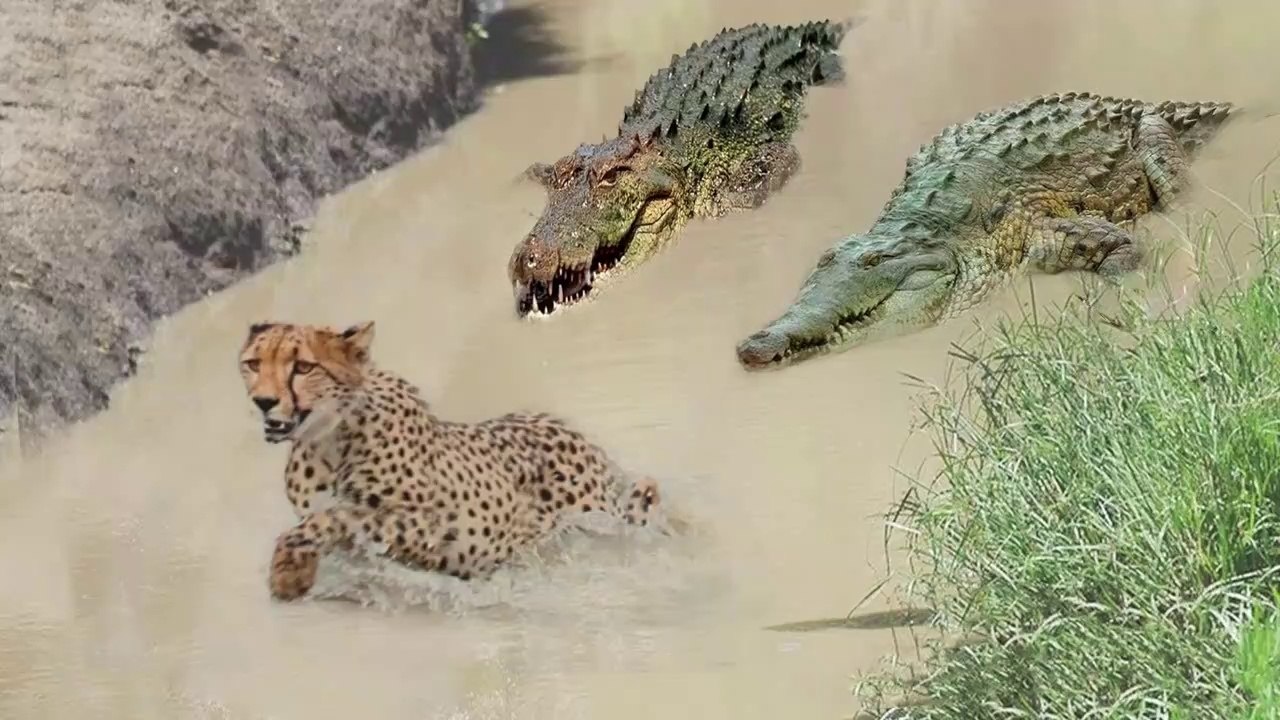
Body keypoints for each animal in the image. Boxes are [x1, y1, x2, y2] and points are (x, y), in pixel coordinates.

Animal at [237, 320, 664, 601]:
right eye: (253, 364)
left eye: (303, 367)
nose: (263, 402)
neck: (327, 440)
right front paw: (294, 571)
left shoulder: (438, 527)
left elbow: (339, 516)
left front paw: (289, 564)